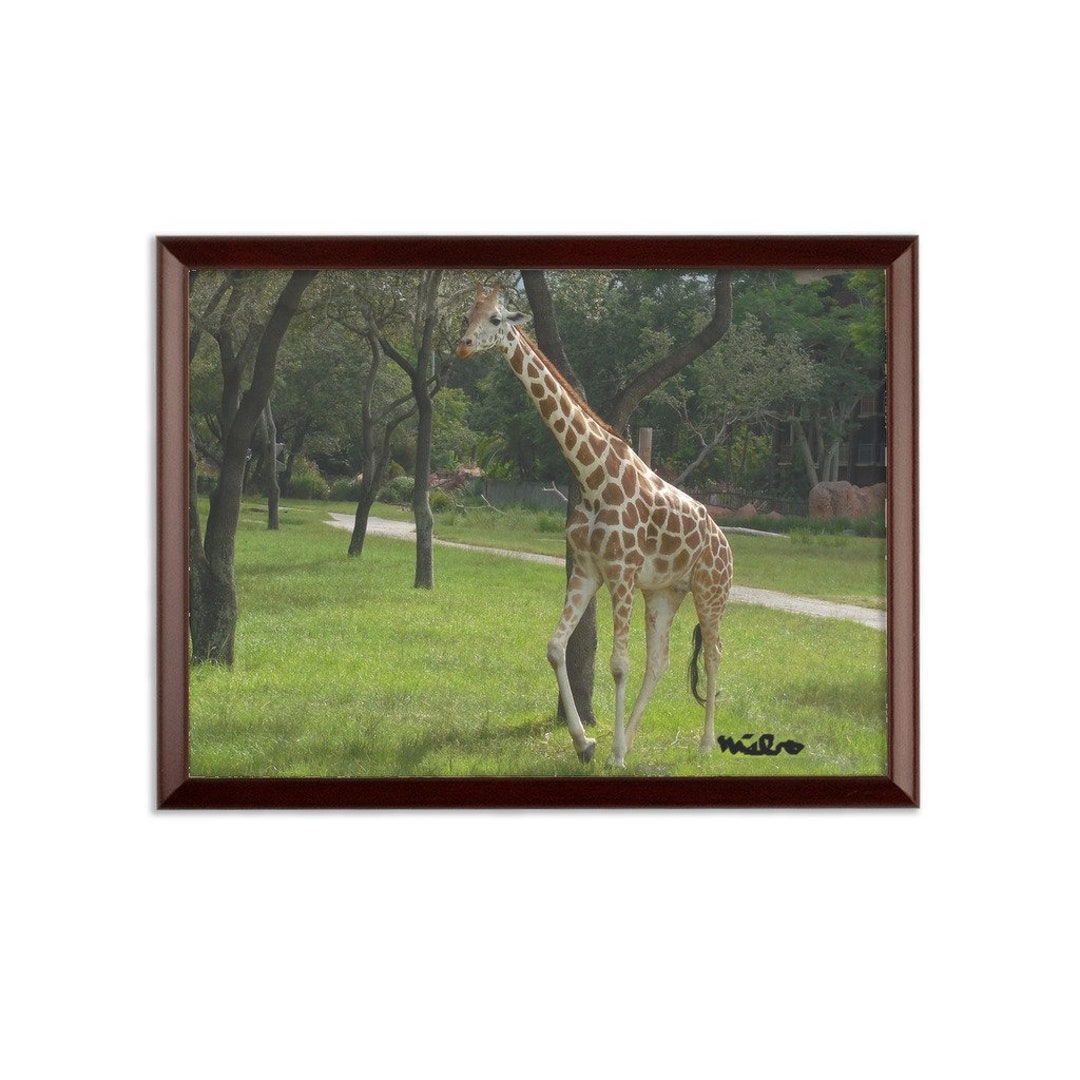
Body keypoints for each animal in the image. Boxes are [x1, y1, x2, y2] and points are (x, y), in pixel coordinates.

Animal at [456, 285, 733, 767]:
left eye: (496, 319)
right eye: (466, 315)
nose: (464, 346)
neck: (590, 474)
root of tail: (728, 545)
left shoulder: (621, 573)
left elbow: (618, 665)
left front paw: (613, 755)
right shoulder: (587, 570)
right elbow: (555, 647)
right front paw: (586, 744)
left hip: (710, 592)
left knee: (713, 654)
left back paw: (701, 745)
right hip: (665, 592)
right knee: (660, 660)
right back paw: (632, 740)